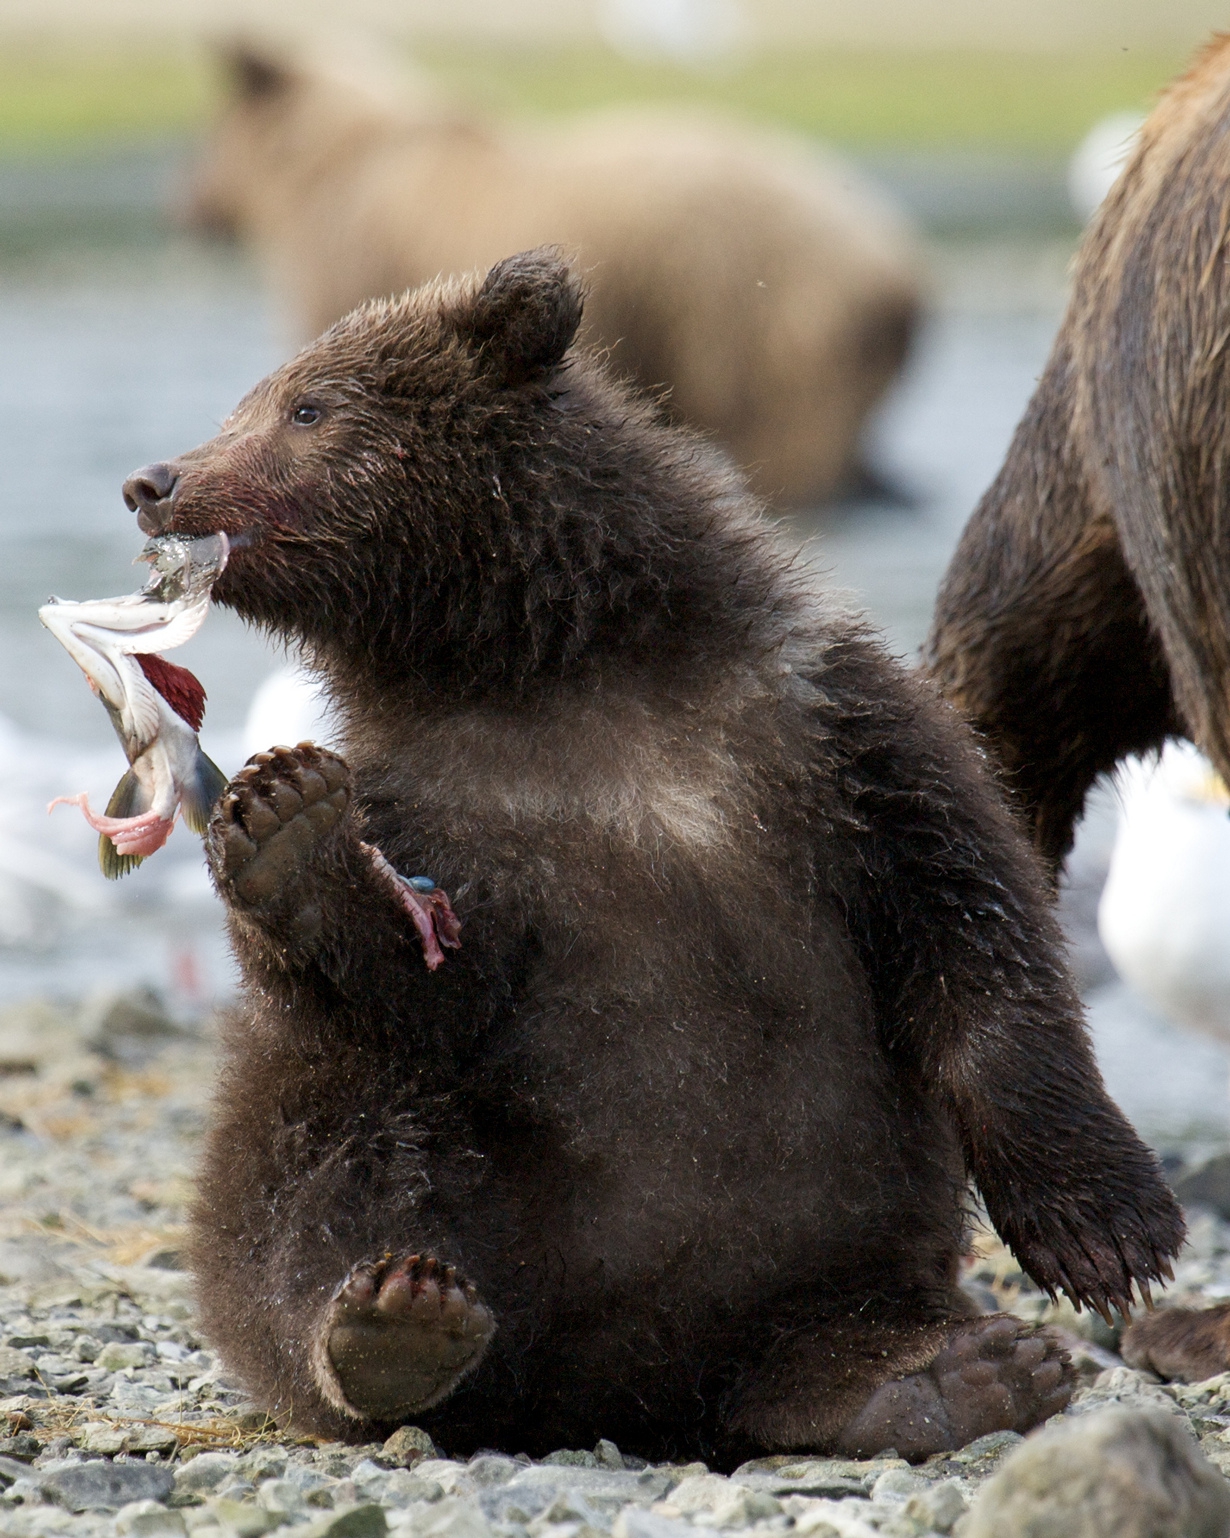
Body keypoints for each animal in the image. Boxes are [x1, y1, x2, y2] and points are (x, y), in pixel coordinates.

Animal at [120, 249, 1182, 1463]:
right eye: (253, 401)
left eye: (305, 406)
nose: (155, 479)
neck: (548, 667)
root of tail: (612, 1398)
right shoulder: (443, 809)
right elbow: (422, 991)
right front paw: (288, 829)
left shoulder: (820, 722)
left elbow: (975, 918)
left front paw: (1105, 1230)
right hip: (468, 1207)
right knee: (326, 1161)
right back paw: (391, 1322)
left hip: (832, 1225)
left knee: (823, 1306)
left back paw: (943, 1374)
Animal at [184, 36, 922, 510]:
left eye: (210, 134)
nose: (182, 204)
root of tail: (902, 270)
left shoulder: (354, 263)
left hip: (756, 323)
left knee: (797, 446)